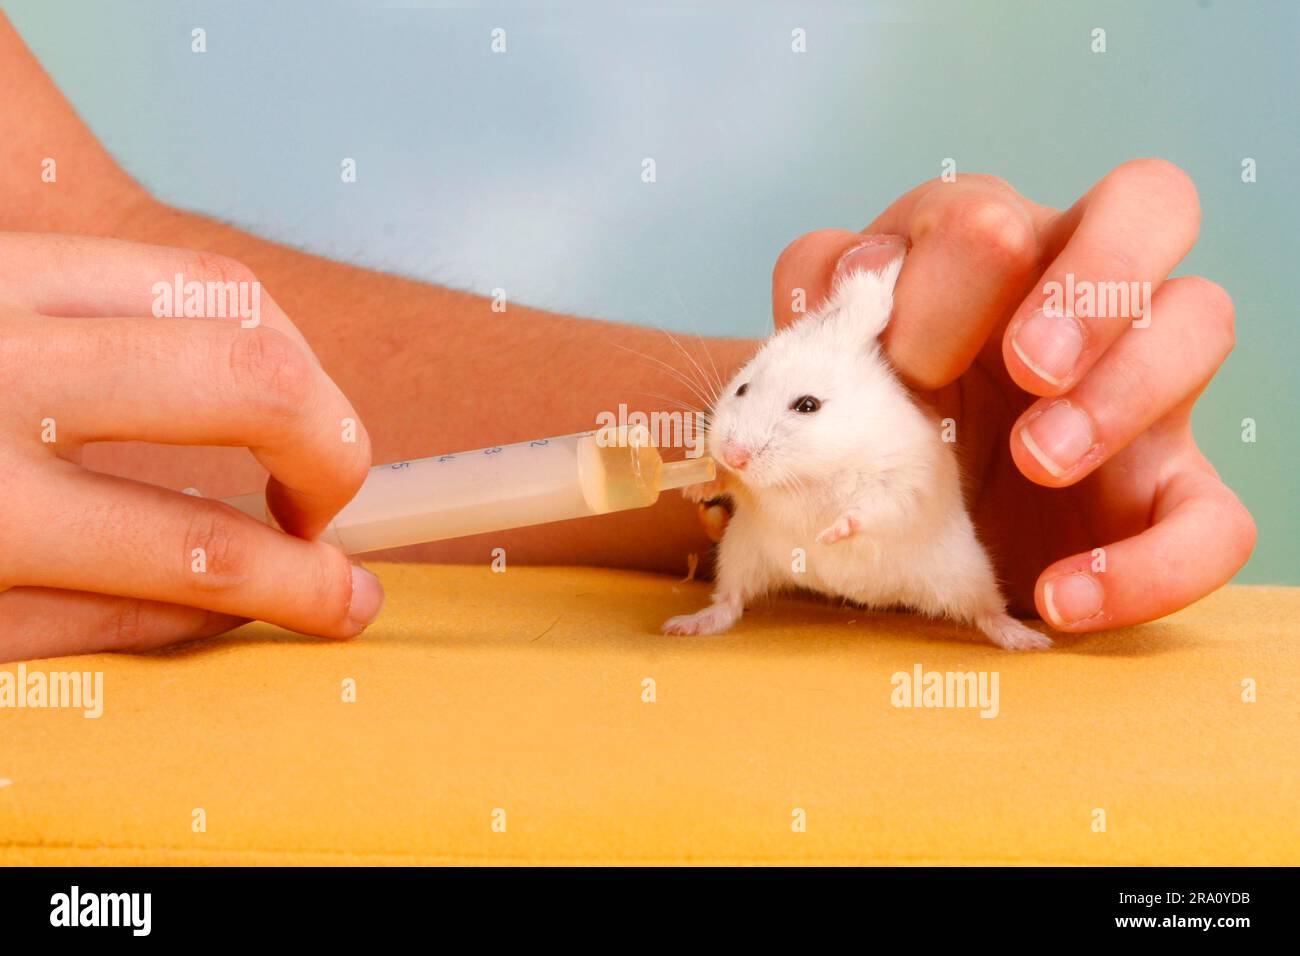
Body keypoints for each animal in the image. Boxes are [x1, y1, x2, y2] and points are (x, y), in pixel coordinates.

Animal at [663, 252, 1051, 651]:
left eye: (807, 405)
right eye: (741, 388)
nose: (735, 455)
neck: (813, 470)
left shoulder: (905, 484)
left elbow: (871, 509)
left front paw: (828, 535)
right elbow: (732, 484)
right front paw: (696, 487)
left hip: (968, 569)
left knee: (987, 609)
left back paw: (1030, 640)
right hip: (739, 551)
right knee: (729, 600)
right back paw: (684, 625)